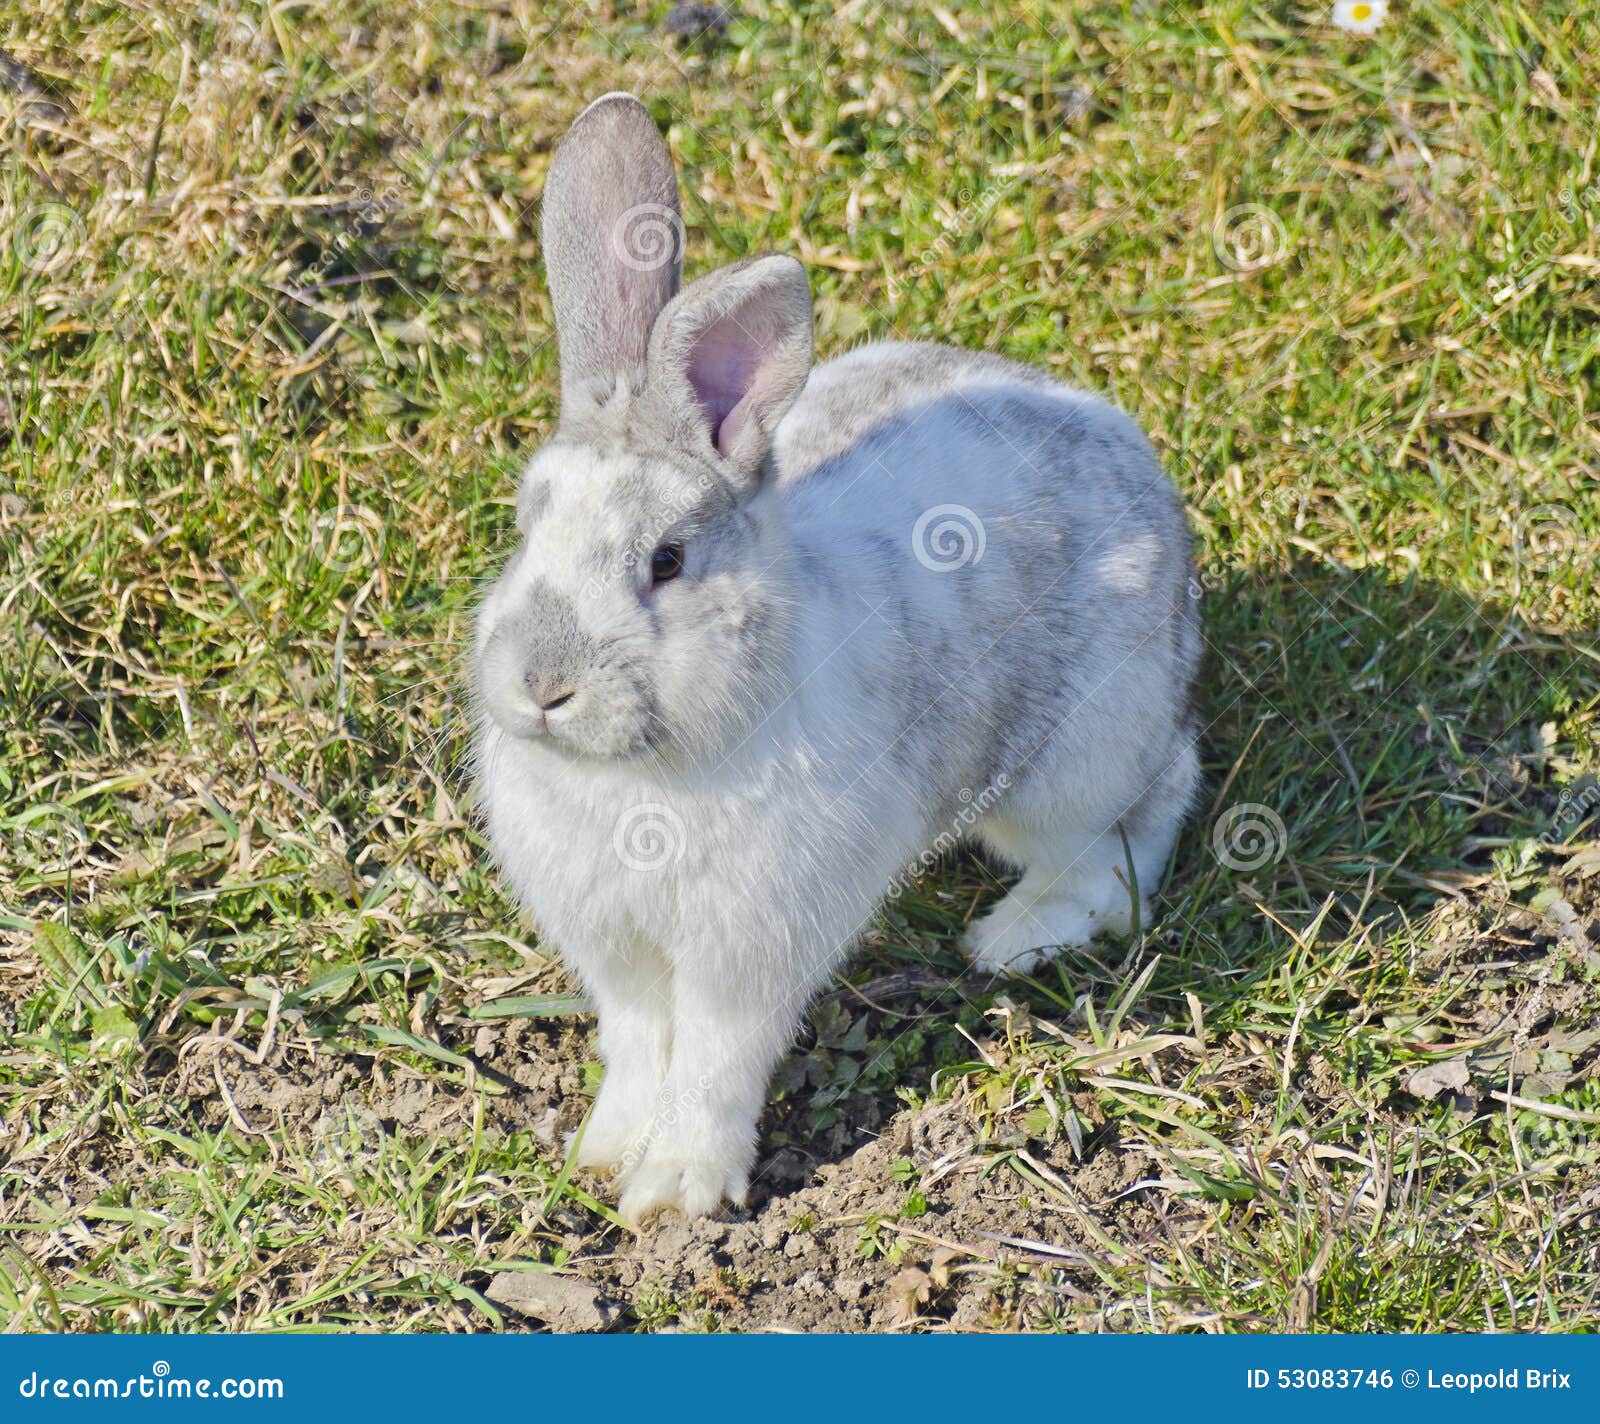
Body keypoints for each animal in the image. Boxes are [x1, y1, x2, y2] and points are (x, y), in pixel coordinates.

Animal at [471, 93, 1201, 1221]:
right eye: (524, 527)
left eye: (667, 560)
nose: (541, 687)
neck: (645, 771)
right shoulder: (621, 954)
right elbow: (641, 1047)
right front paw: (604, 1153)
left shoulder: (750, 951)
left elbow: (715, 1062)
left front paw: (676, 1194)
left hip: (1070, 764)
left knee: (1136, 828)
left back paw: (1011, 937)